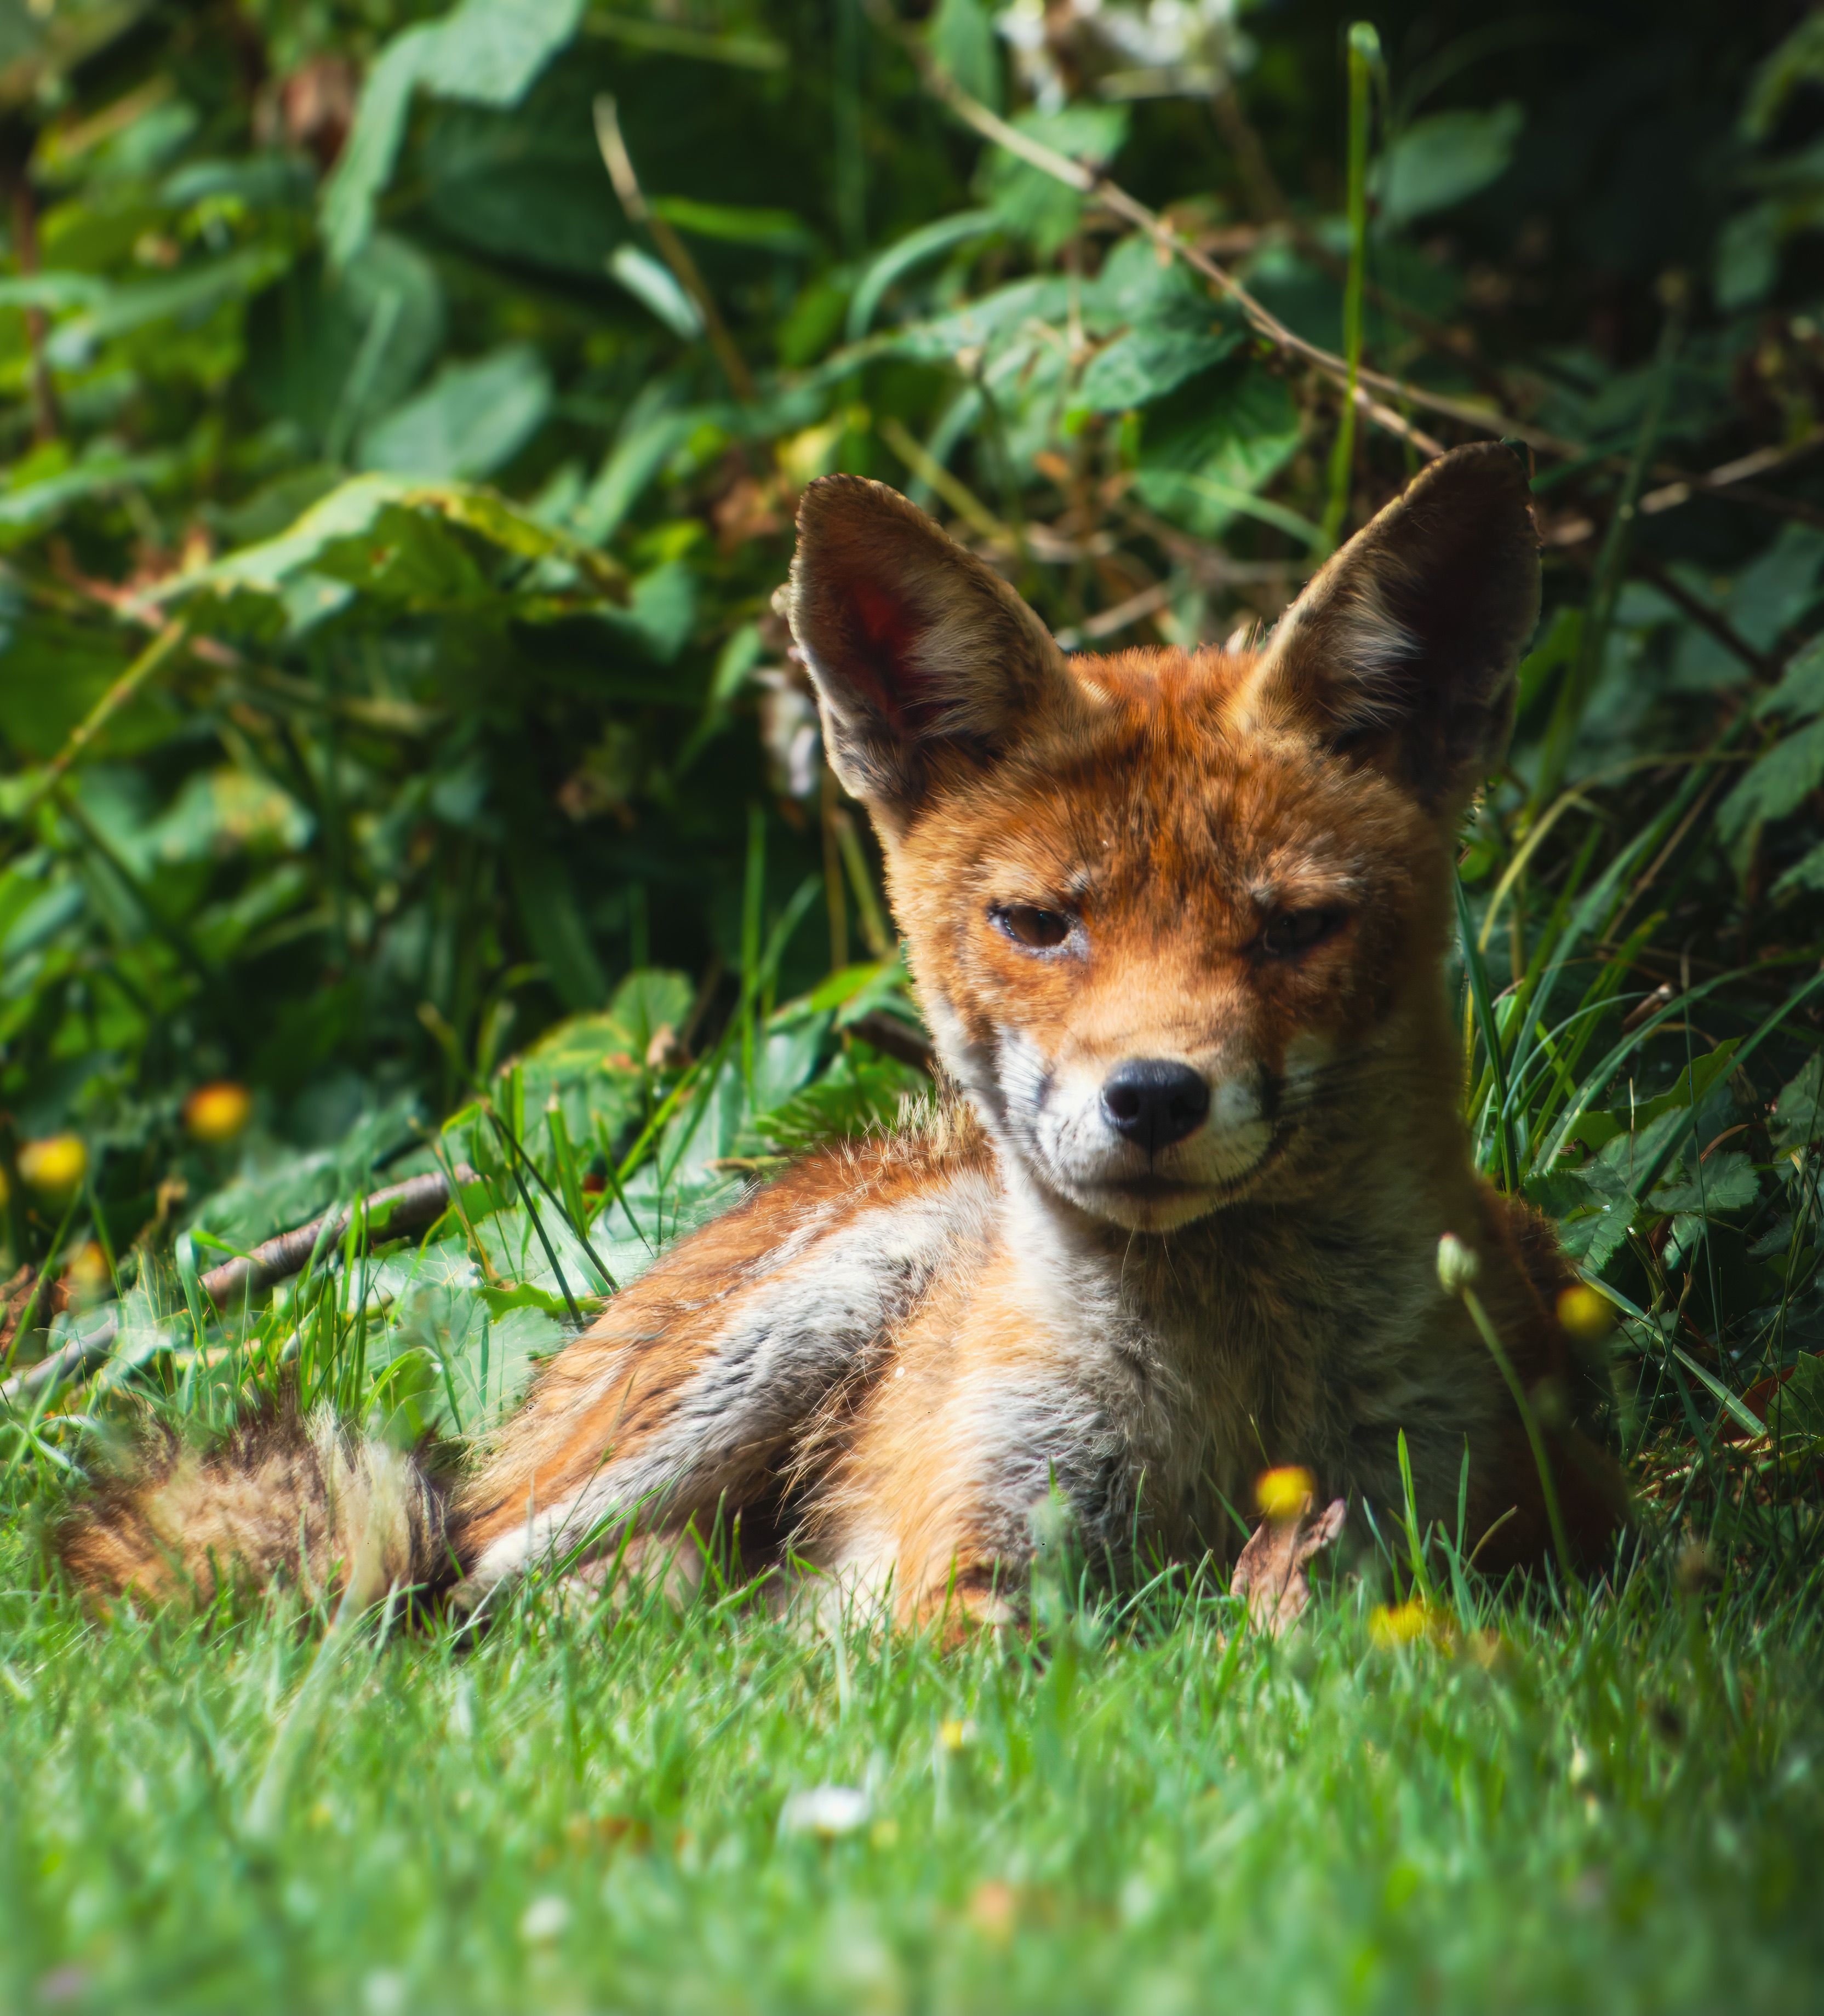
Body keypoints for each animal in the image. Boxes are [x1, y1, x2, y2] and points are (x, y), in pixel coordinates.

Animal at [62, 442, 1627, 1629]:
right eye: (1036, 924)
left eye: (1295, 927)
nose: (1152, 1096)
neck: (1232, 1393)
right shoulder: (968, 1560)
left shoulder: (1488, 1537)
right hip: (758, 1356)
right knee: (457, 1586)